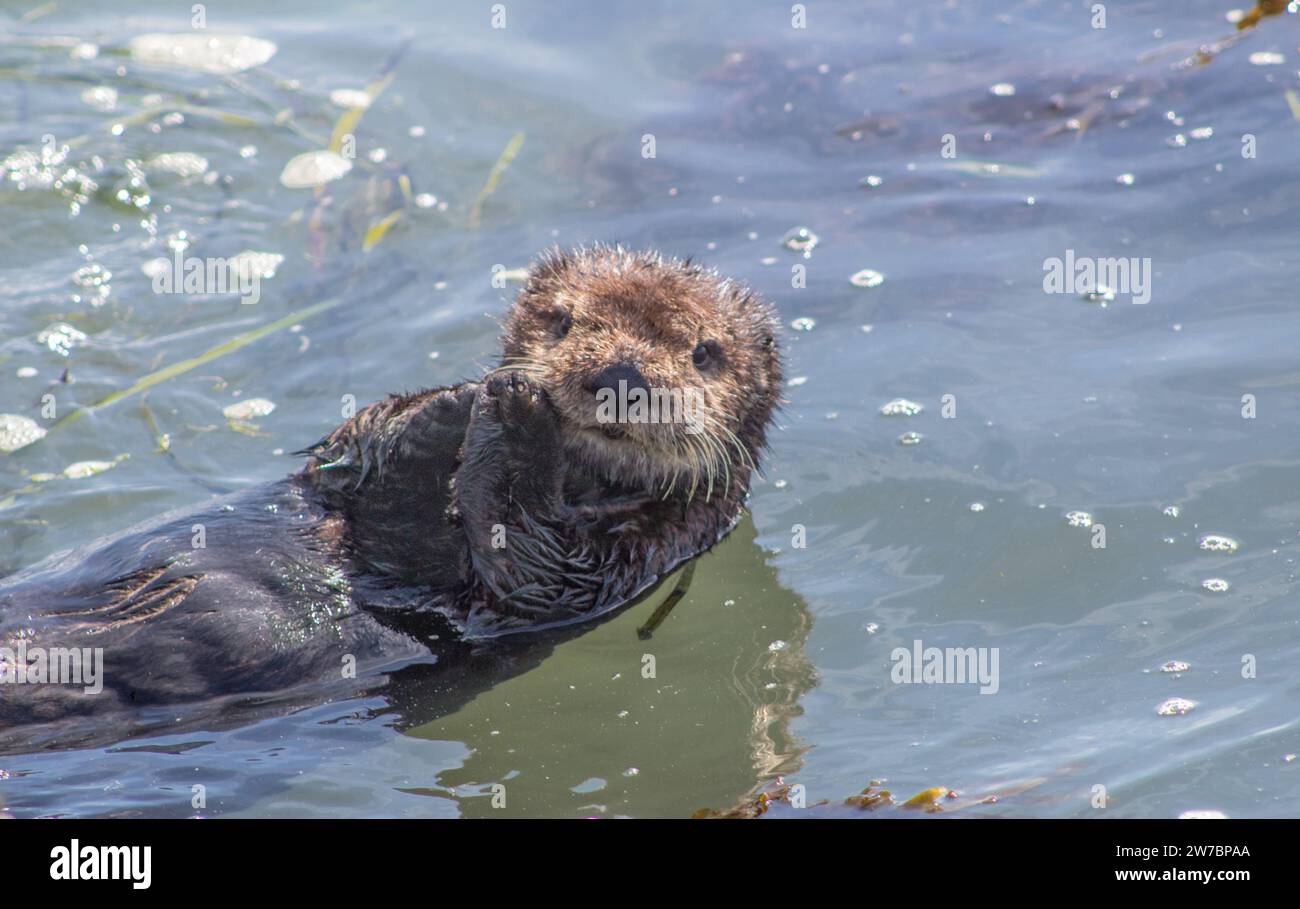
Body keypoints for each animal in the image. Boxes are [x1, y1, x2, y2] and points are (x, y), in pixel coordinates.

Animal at [0, 246, 782, 753]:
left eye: (704, 351)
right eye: (564, 320)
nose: (622, 373)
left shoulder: (627, 559)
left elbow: (532, 566)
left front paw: (516, 417)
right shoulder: (334, 481)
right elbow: (348, 452)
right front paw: (456, 402)